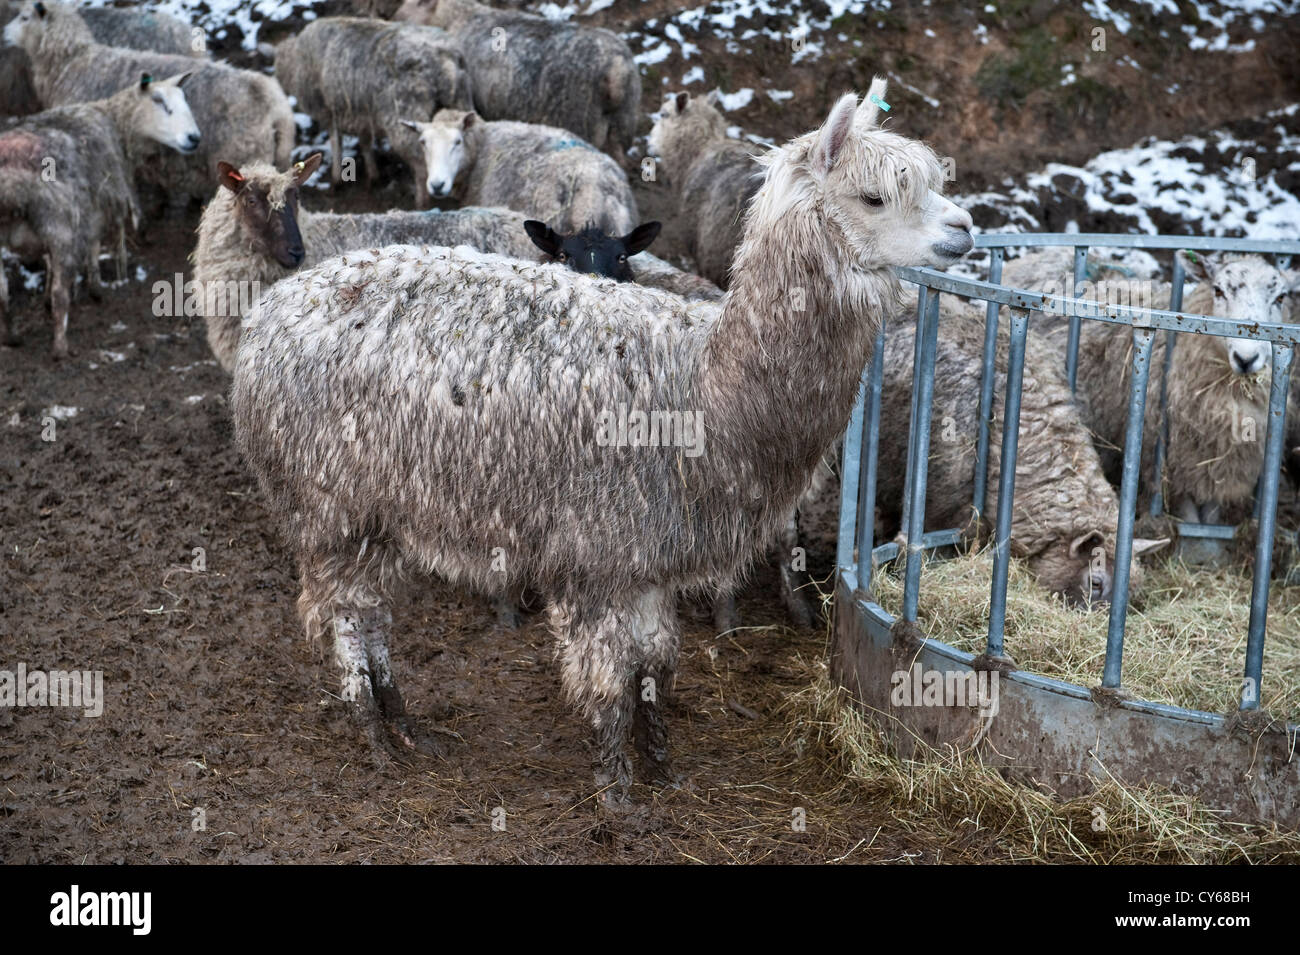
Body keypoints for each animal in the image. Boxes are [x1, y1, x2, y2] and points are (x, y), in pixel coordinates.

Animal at [0, 71, 200, 357]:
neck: (114, 120)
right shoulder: (98, 199)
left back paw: (11, 336)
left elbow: (50, 262)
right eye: (159, 101)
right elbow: (97, 243)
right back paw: (61, 346)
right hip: (59, 223)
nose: (195, 138)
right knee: (61, 292)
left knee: (2, 291)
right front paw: (98, 287)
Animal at [273, 16, 472, 207]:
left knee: (422, 165)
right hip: (458, 104)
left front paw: (337, 180)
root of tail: (445, 59)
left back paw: (422, 202)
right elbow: (365, 141)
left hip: (406, 117)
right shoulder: (362, 114)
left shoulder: (329, 111)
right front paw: (373, 176)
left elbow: (336, 143)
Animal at [393, 0, 639, 162]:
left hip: (581, 120)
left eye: (417, 2)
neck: (455, 17)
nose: (396, 14)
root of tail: (617, 71)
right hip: (621, 126)